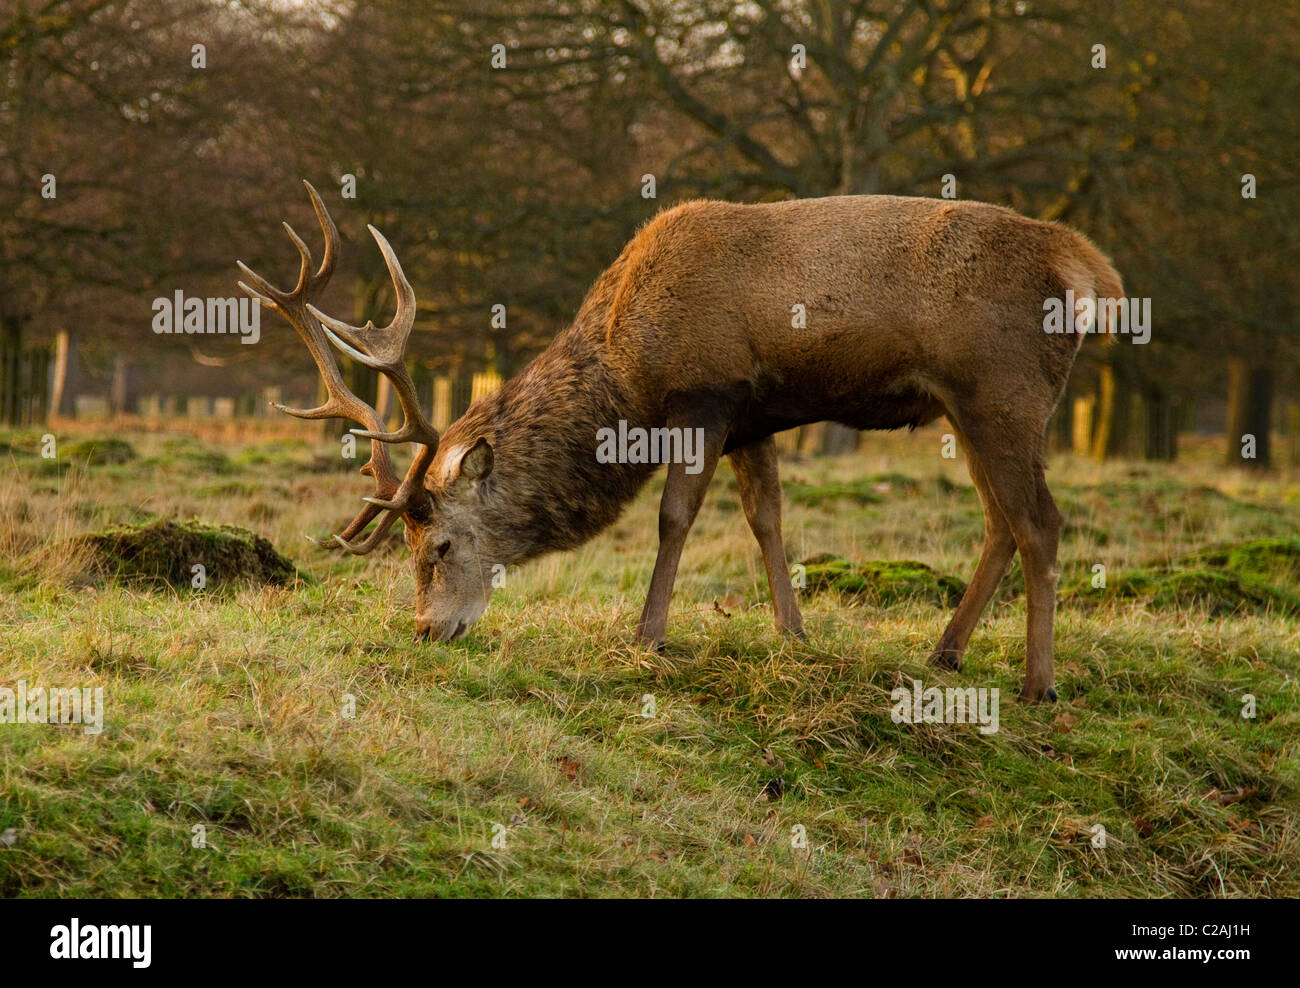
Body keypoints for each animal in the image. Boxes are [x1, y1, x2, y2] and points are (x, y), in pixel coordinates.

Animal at [238, 181, 1123, 702]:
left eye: (443, 544)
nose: (428, 629)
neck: (627, 372)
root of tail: (1086, 267)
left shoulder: (706, 396)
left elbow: (674, 519)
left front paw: (648, 634)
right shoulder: (753, 417)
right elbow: (767, 519)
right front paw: (794, 634)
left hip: (1003, 391)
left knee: (1040, 522)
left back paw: (1038, 684)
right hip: (965, 408)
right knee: (1001, 522)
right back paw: (944, 653)